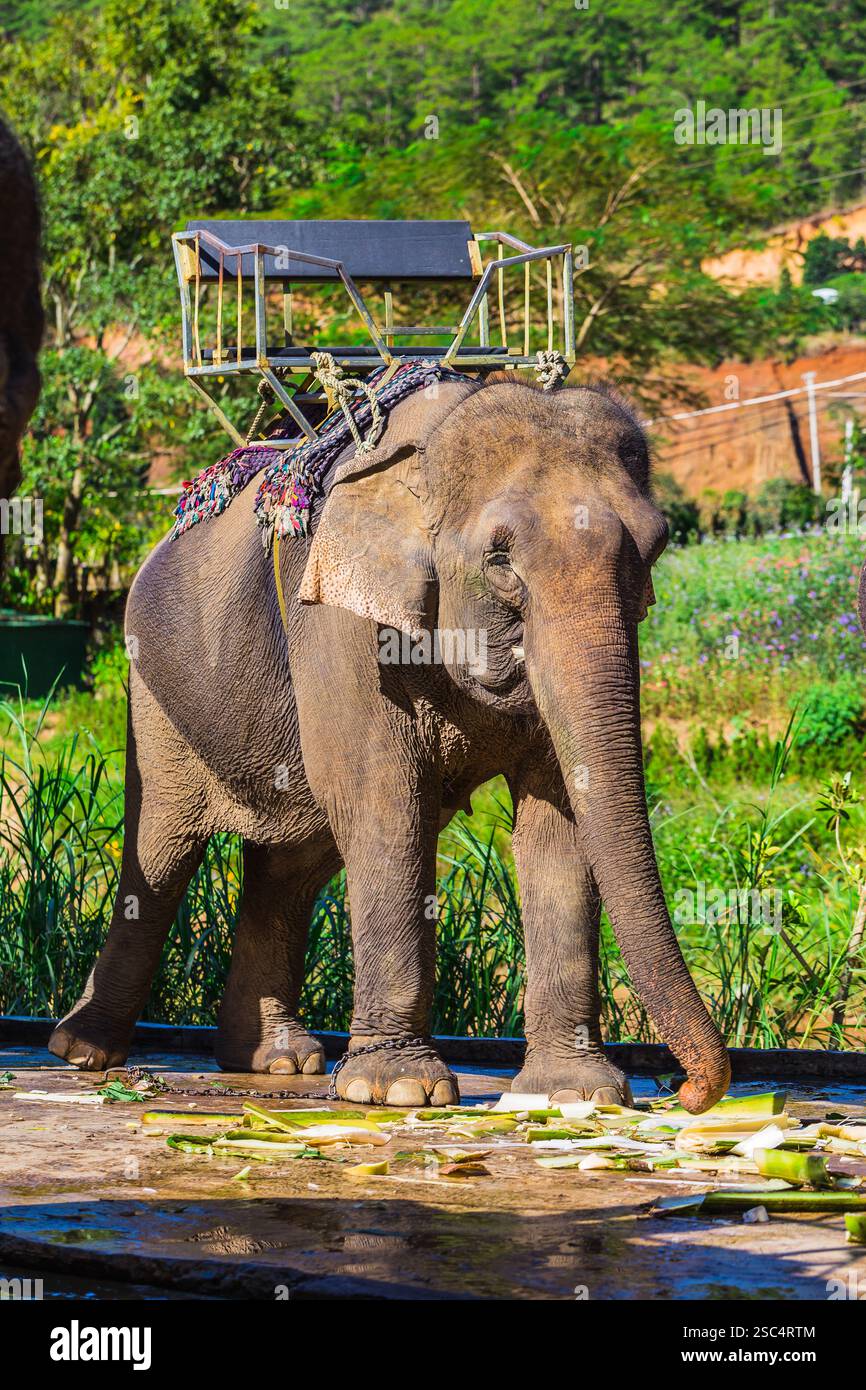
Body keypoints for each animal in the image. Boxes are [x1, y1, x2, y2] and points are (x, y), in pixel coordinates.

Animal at [49, 373, 730, 1112]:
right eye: (499, 559)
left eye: (656, 548)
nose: (684, 1092)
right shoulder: (339, 623)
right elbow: (384, 801)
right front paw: (398, 1090)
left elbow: (561, 820)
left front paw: (575, 1095)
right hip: (155, 695)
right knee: (163, 849)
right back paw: (84, 1051)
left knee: (290, 865)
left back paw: (277, 1061)